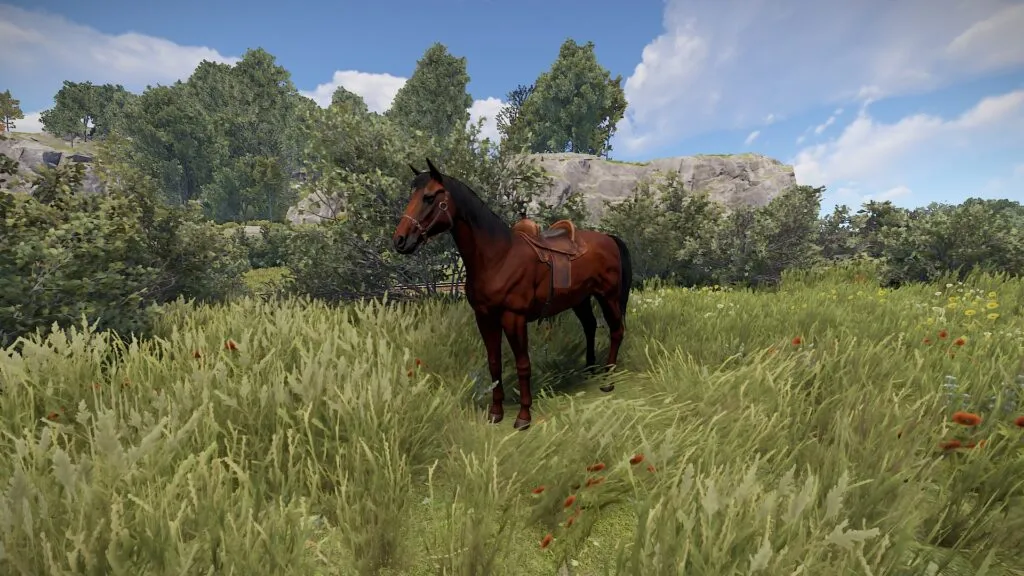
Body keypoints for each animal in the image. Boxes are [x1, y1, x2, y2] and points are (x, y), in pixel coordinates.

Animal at [392, 158, 633, 431]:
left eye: (430, 197)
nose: (400, 240)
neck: (498, 257)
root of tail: (609, 239)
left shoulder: (514, 318)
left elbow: (523, 364)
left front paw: (524, 416)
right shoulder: (485, 318)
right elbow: (494, 363)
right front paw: (495, 413)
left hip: (608, 296)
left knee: (616, 330)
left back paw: (608, 380)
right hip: (580, 299)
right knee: (590, 327)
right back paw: (589, 371)